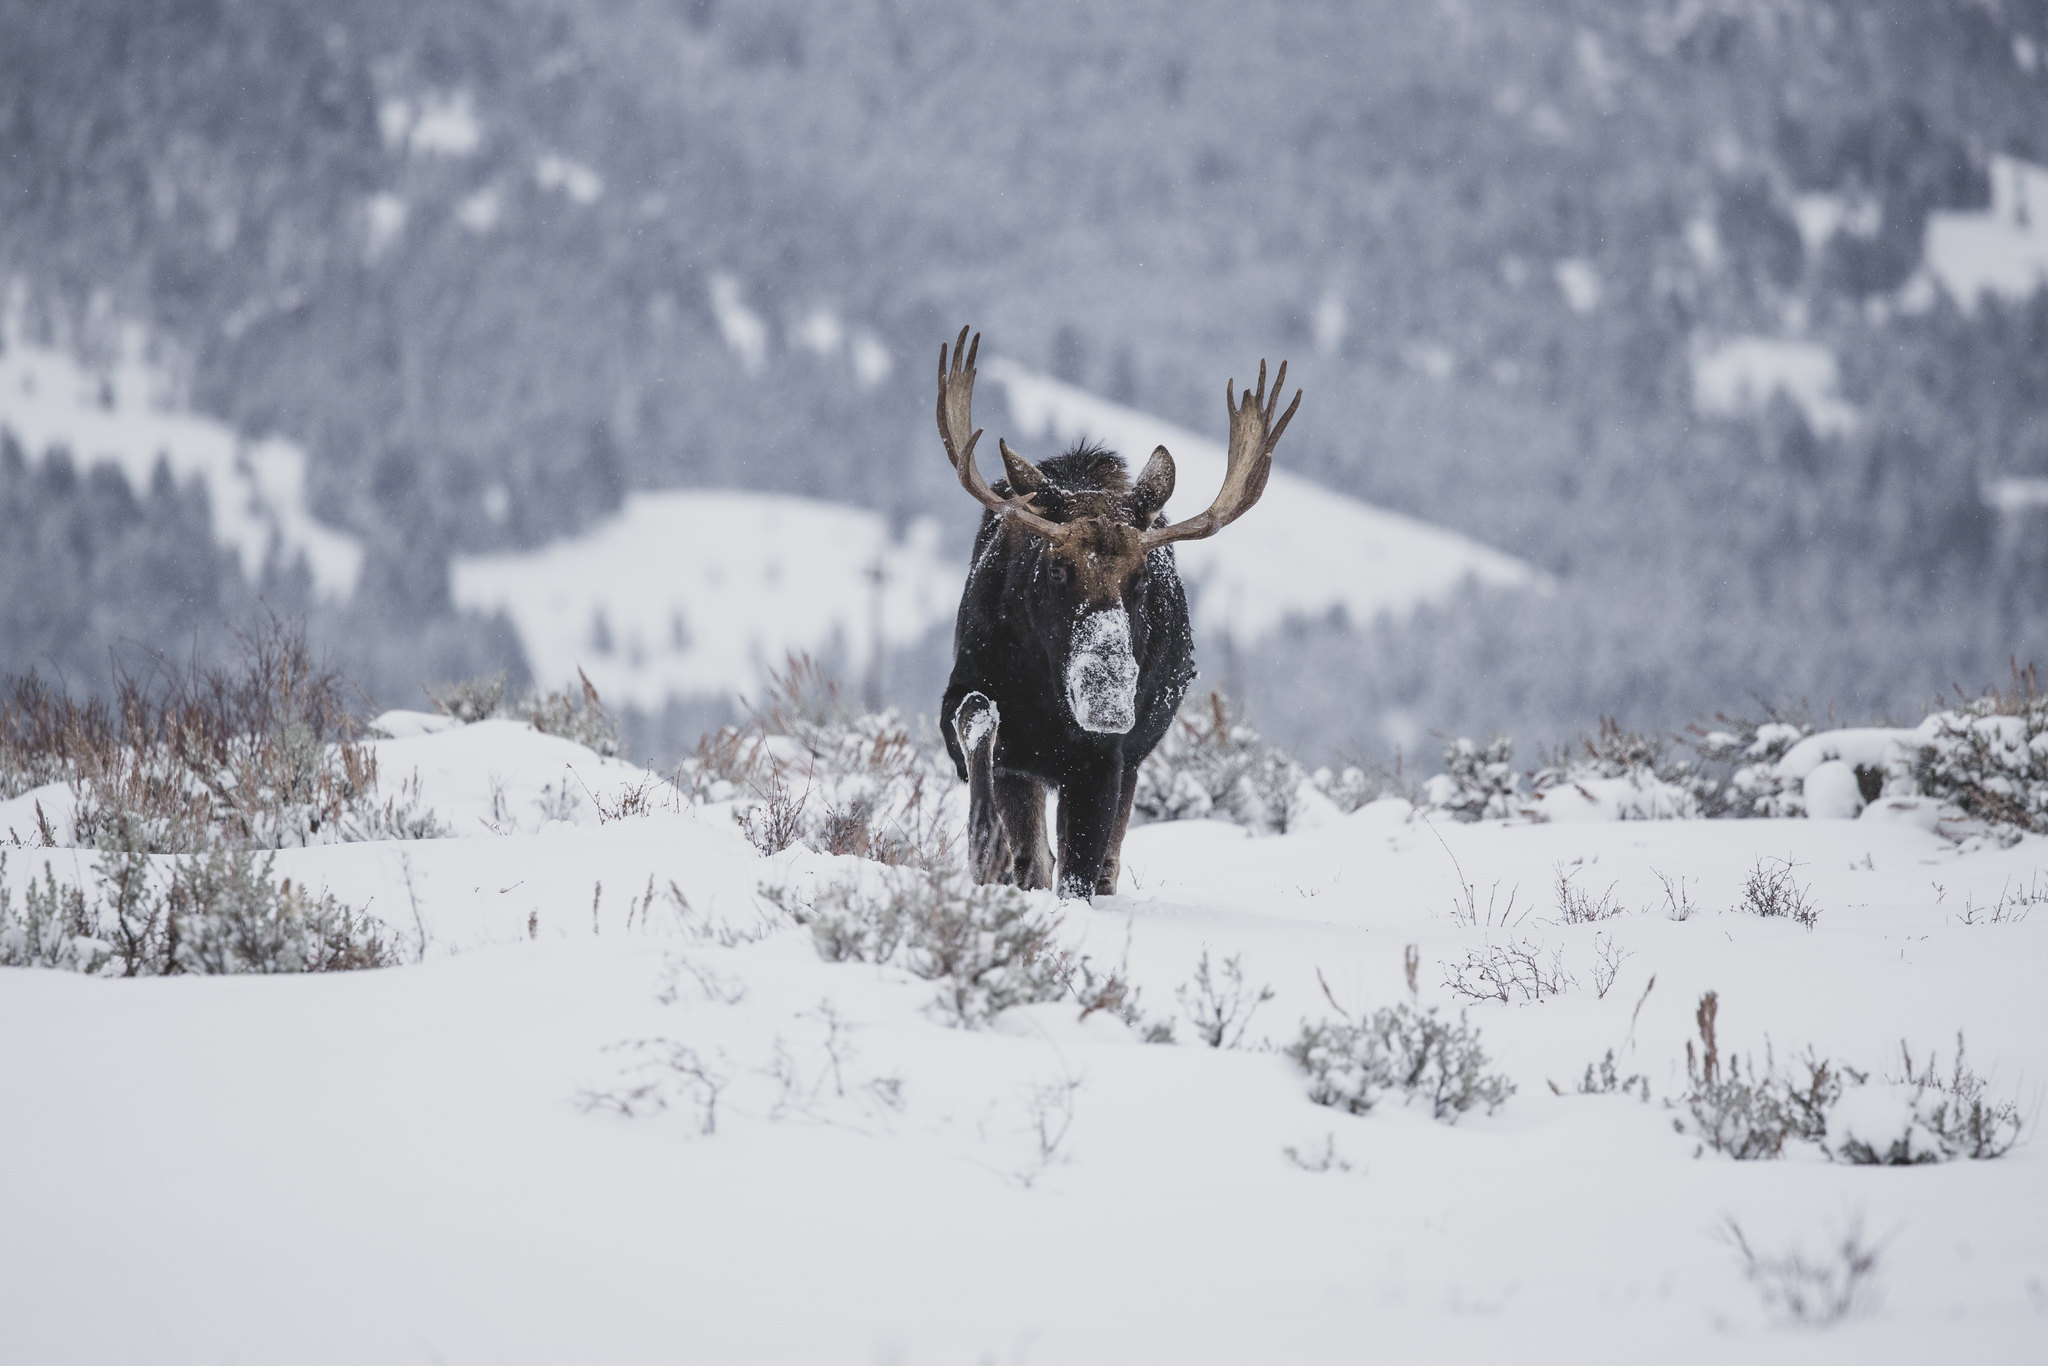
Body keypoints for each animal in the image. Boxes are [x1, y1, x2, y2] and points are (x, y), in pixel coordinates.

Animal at [934, 327, 1300, 900]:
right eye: (1056, 568)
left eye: (1143, 577)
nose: (1108, 699)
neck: (1046, 694)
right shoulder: (982, 714)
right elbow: (977, 720)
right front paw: (985, 848)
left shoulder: (1103, 759)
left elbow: (1080, 874)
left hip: (1133, 757)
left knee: (1103, 859)